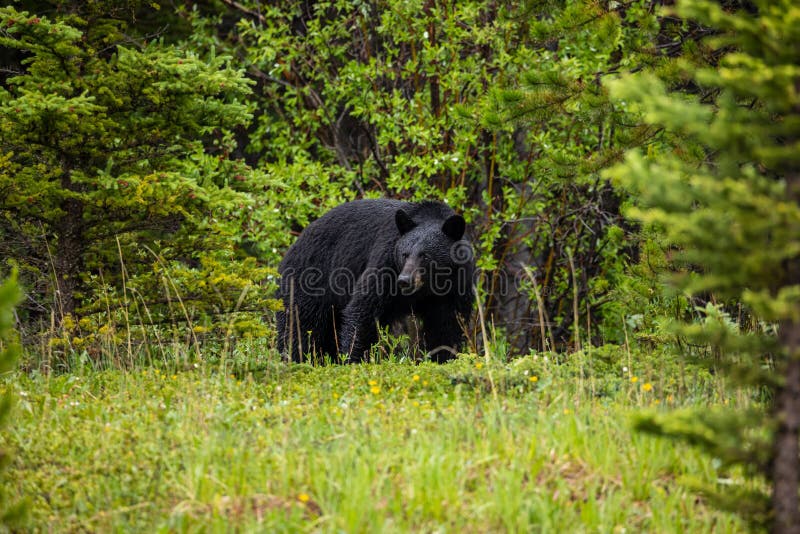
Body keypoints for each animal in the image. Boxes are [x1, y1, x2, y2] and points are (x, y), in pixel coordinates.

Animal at [276, 199, 474, 363]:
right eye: (405, 254)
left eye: (425, 256)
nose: (405, 280)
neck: (429, 287)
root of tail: (294, 244)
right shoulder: (386, 262)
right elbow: (364, 309)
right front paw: (354, 359)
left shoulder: (455, 284)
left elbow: (447, 325)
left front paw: (444, 358)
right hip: (310, 279)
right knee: (299, 324)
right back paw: (293, 359)